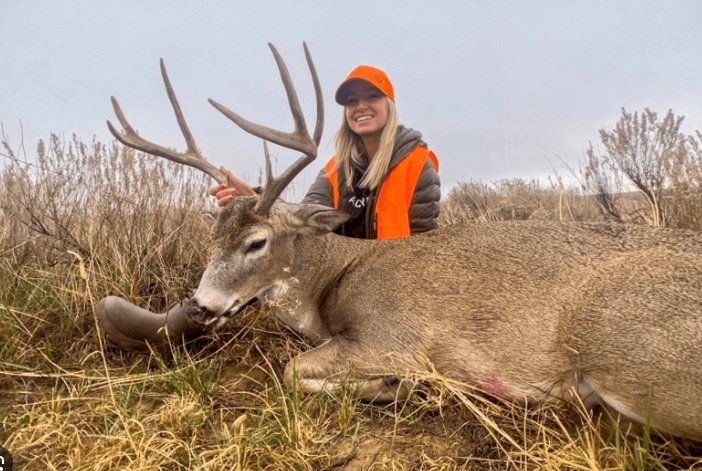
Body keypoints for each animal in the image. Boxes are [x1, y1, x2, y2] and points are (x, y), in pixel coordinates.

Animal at [106, 43, 702, 442]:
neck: (334, 280)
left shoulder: (394, 336)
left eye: (257, 242)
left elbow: (293, 371)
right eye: (212, 235)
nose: (200, 306)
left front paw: (405, 388)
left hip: (631, 356)